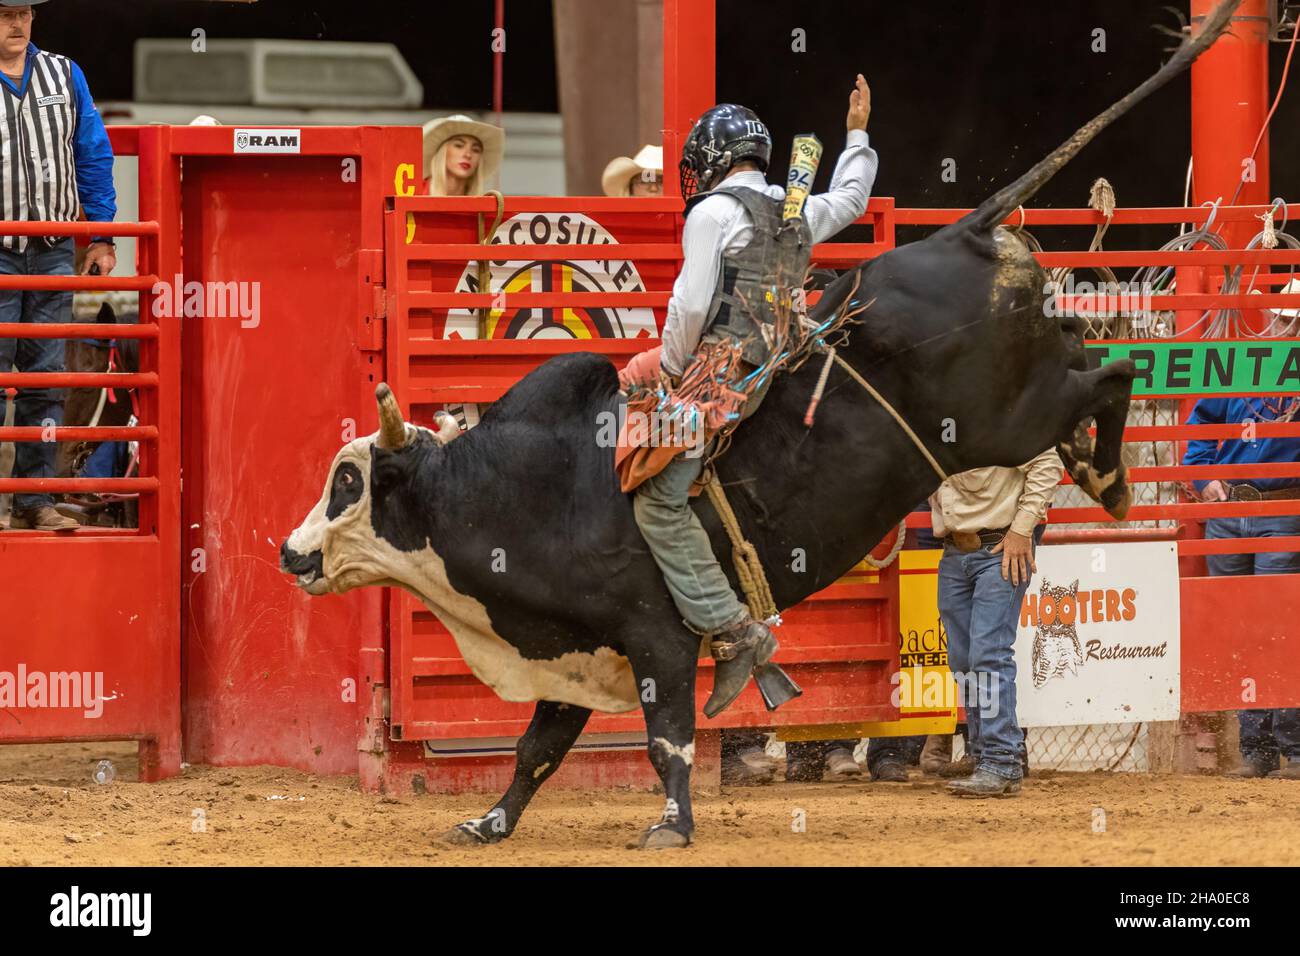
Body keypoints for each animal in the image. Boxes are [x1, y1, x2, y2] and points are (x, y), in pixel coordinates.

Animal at [282, 0, 1239, 849]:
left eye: (352, 482)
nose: (291, 554)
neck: (535, 490)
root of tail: (962, 233)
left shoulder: (658, 638)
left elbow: (668, 742)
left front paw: (671, 825)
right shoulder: (575, 655)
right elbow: (536, 749)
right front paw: (488, 823)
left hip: (1001, 416)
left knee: (1110, 374)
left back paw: (1108, 476)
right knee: (1087, 351)